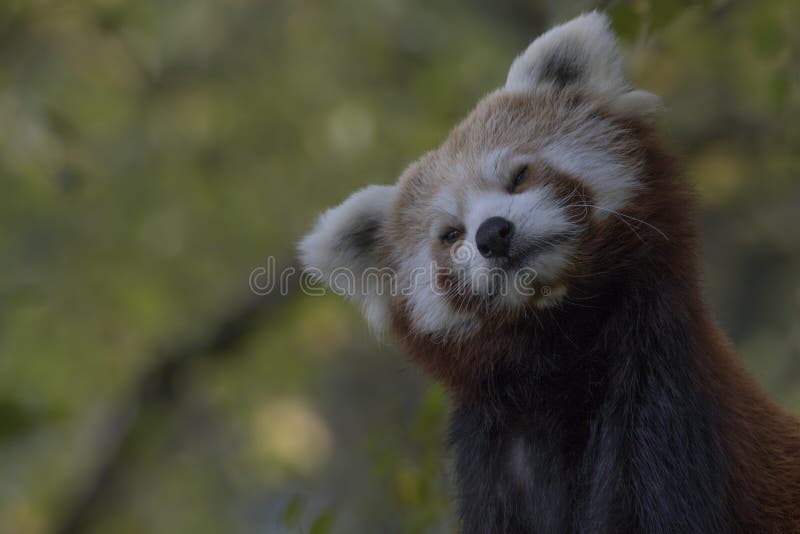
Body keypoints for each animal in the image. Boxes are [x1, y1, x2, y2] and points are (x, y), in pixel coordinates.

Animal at [299, 11, 800, 533]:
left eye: (518, 176)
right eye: (451, 234)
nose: (493, 233)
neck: (563, 355)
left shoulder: (665, 402)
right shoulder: (499, 455)